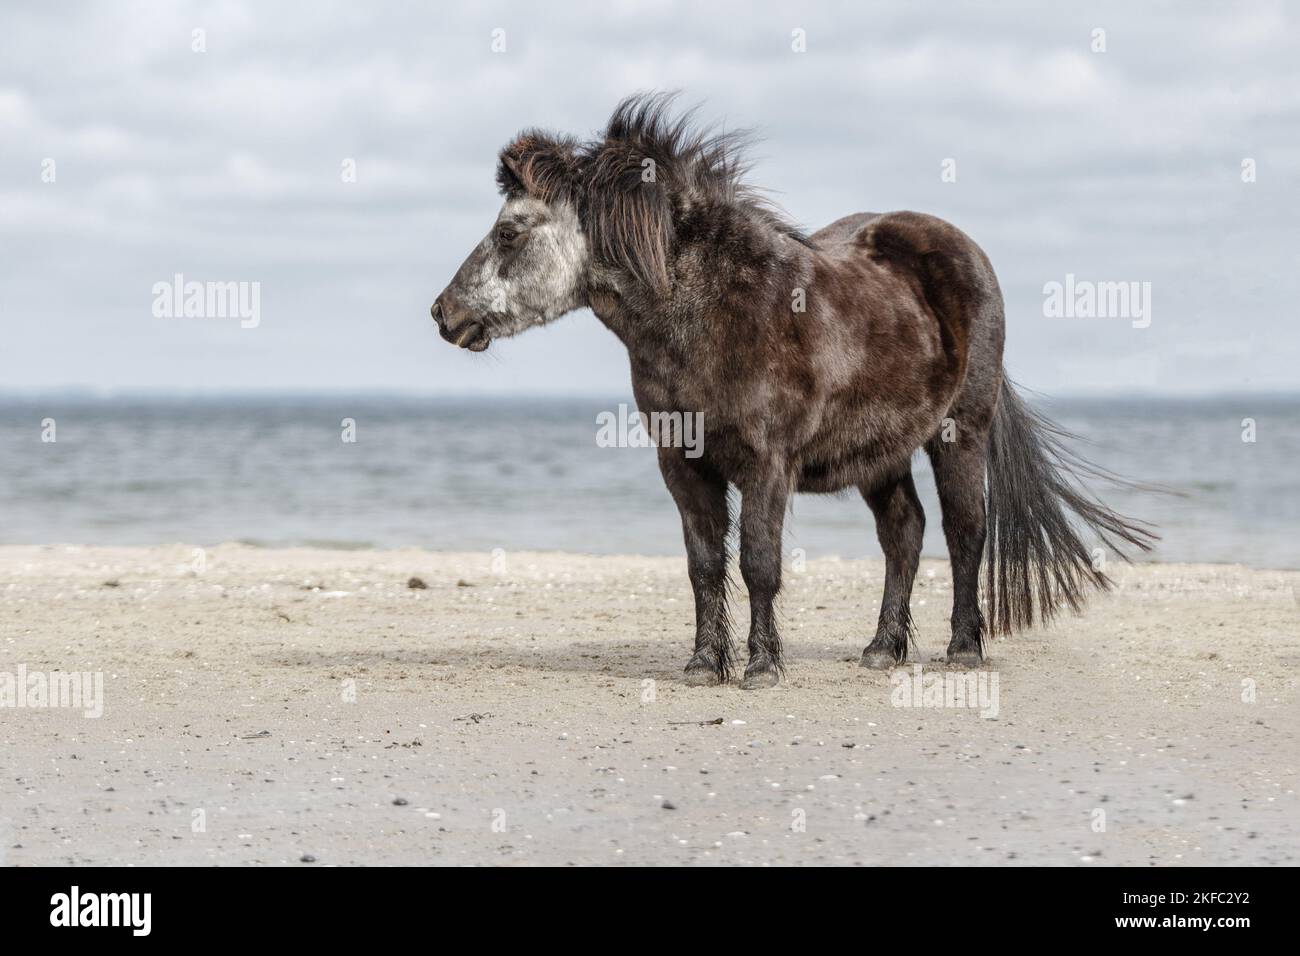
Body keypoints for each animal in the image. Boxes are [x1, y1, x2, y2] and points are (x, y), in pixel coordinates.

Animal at [430, 93, 1154, 689]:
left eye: (508, 232)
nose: (443, 313)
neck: (718, 311)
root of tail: (958, 249)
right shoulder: (682, 465)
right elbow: (703, 565)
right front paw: (703, 665)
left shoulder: (766, 465)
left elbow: (758, 562)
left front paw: (760, 666)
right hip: (881, 451)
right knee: (905, 532)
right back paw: (882, 649)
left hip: (960, 434)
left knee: (964, 531)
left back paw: (963, 649)